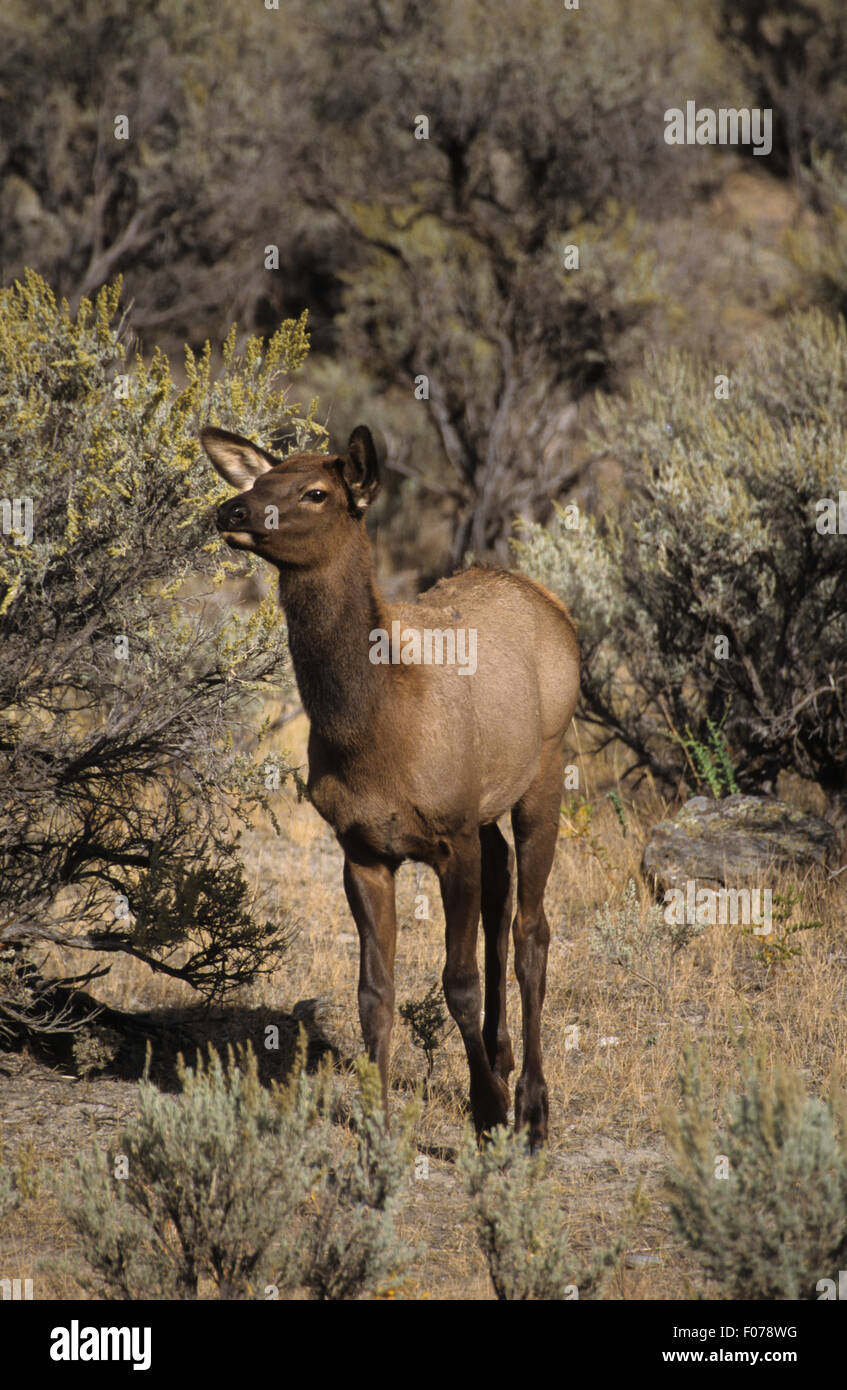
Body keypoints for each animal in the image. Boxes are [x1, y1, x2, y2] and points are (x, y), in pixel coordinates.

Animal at [201, 423, 579, 1148]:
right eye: (257, 480)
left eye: (316, 492)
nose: (229, 511)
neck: (375, 728)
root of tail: (551, 604)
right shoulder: (362, 848)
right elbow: (373, 993)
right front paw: (377, 1127)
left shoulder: (451, 833)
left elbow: (456, 981)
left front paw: (490, 1111)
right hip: (486, 807)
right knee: (501, 897)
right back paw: (500, 1060)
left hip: (544, 768)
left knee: (531, 930)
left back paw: (533, 1106)